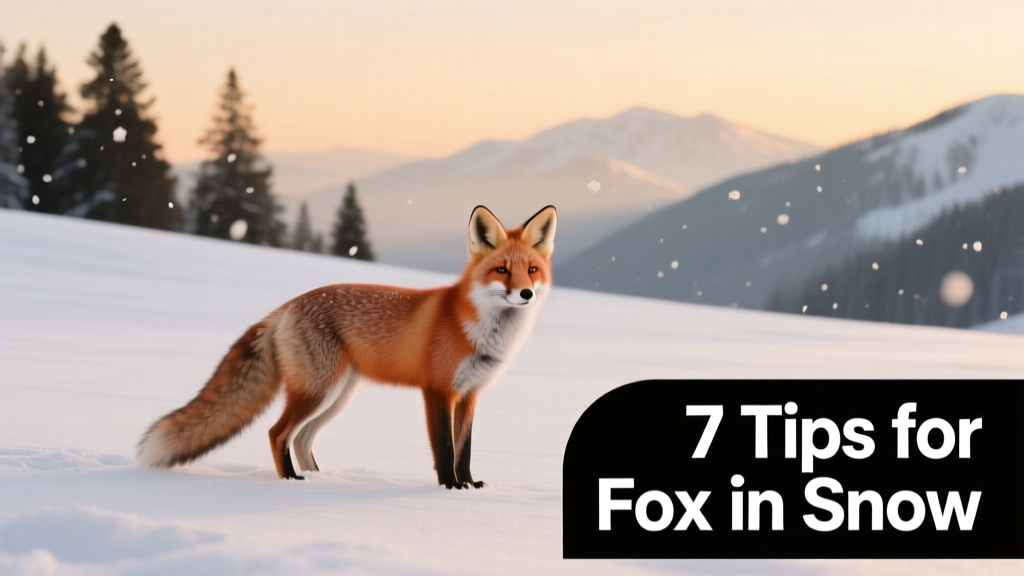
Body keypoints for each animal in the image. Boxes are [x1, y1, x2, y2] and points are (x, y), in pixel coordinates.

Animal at [137, 204, 556, 489]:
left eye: (532, 270)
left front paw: (468, 486)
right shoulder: (437, 391)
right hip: (317, 391)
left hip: (338, 395)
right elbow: (444, 448)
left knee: (302, 439)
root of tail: (287, 305)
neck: (480, 330)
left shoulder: (469, 394)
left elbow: (464, 449)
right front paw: (449, 488)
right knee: (278, 433)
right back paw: (290, 481)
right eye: (501, 270)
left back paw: (320, 479)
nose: (525, 293)